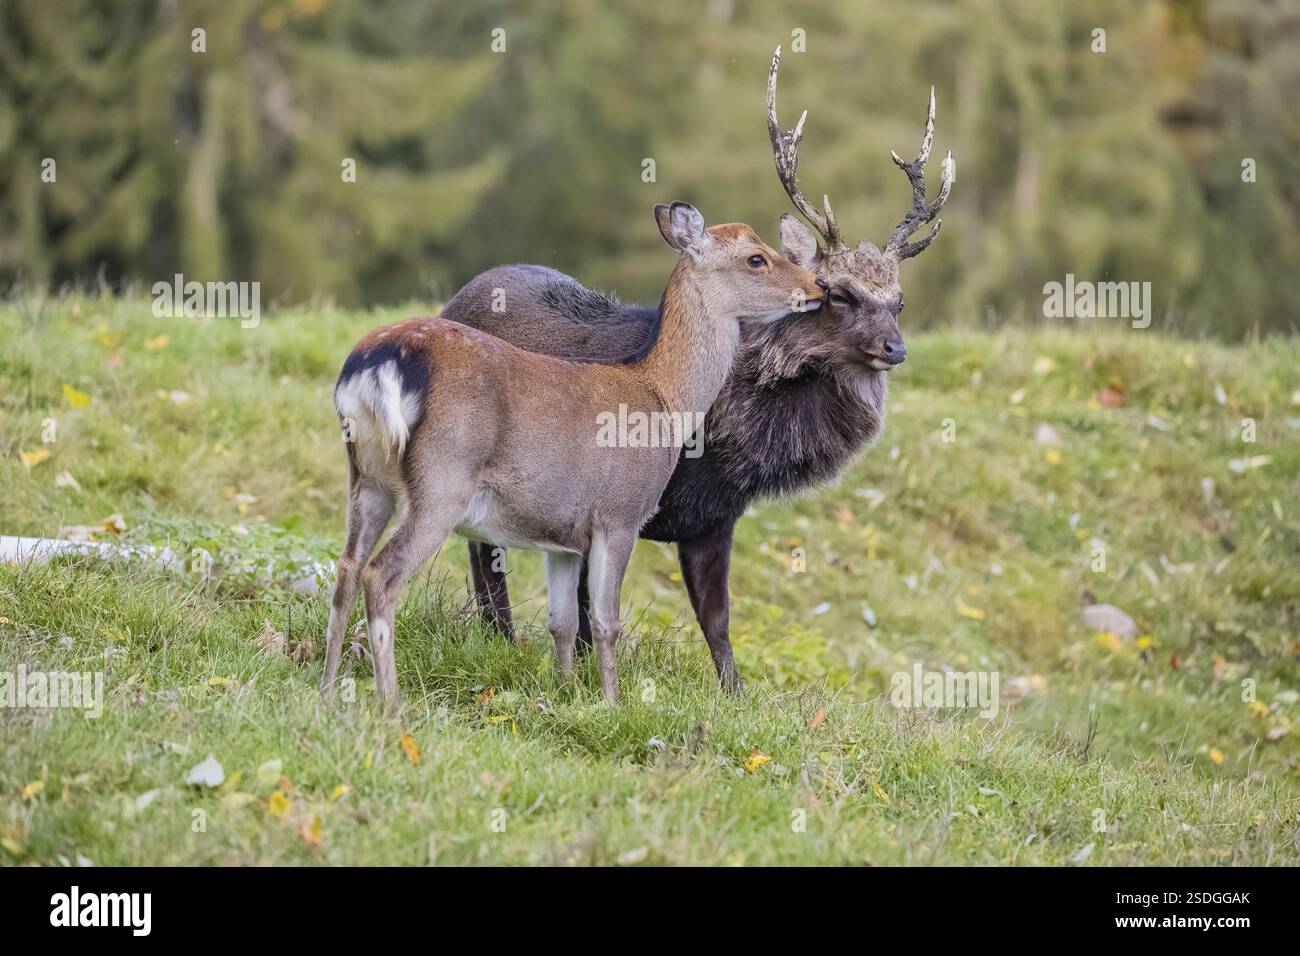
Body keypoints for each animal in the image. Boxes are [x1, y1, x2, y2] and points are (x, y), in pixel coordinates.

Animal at [321, 202, 825, 706]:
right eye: (756, 258)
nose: (818, 287)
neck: (662, 400)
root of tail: (375, 364)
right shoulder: (619, 513)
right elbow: (605, 621)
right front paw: (612, 702)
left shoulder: (559, 532)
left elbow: (561, 622)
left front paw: (565, 691)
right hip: (442, 481)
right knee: (381, 574)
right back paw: (391, 702)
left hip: (366, 477)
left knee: (346, 567)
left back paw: (326, 690)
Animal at [442, 47, 953, 691]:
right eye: (839, 293)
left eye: (900, 301)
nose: (895, 348)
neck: (720, 441)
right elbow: (585, 611)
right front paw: (583, 684)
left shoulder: (716, 518)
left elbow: (718, 620)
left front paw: (735, 694)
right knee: (484, 558)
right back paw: (499, 637)